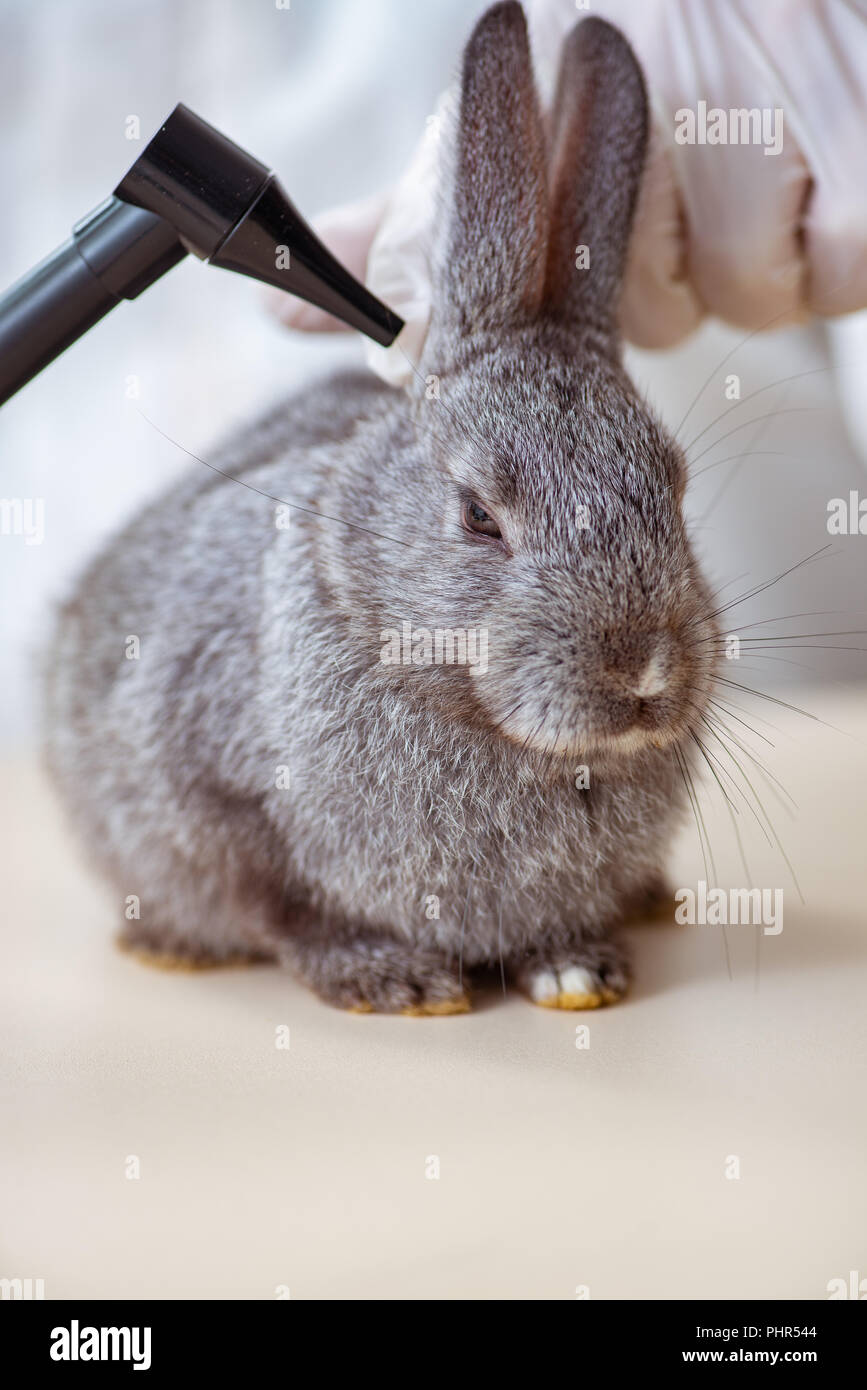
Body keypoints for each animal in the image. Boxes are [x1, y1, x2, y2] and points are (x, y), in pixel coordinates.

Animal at [44, 1, 719, 1016]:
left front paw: (575, 970)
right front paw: (389, 978)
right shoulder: (201, 786)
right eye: (478, 515)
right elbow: (274, 904)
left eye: (672, 486)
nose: (641, 672)